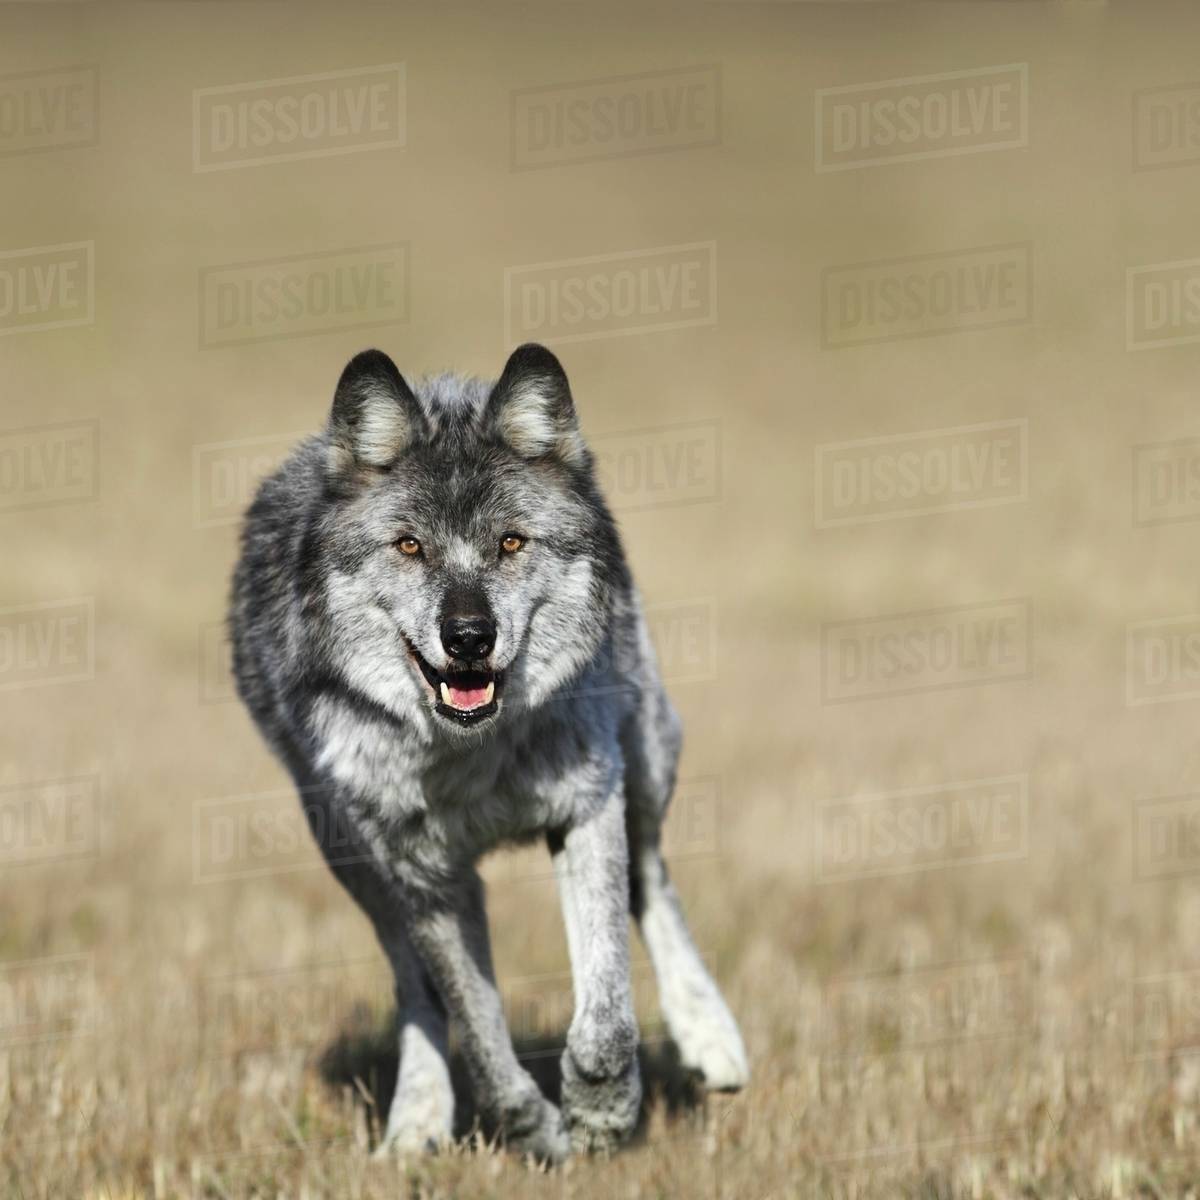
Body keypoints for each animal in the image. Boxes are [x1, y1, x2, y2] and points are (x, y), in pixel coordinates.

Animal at [228, 344, 748, 1160]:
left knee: (654, 880)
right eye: (410, 546)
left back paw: (711, 1037)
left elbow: (606, 1013)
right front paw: (539, 1130)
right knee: (416, 988)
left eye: (510, 542)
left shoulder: (587, 810)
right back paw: (416, 1120)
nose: (468, 637)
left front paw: (601, 1116)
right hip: (354, 861)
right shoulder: (425, 879)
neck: (469, 759)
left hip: (646, 763)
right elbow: (478, 1036)